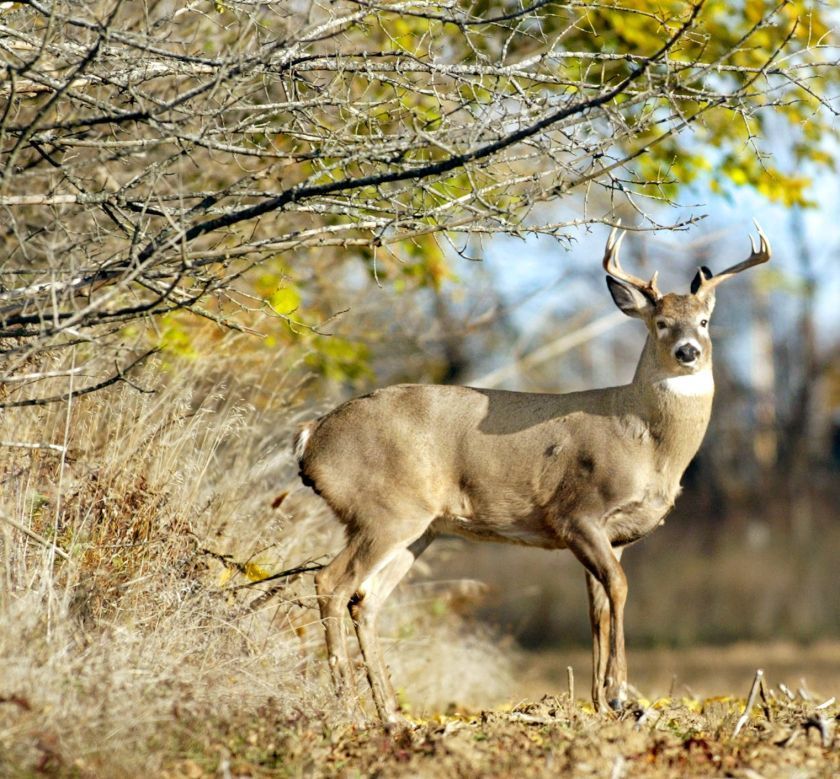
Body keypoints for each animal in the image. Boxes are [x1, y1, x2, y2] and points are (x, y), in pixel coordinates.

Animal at [294, 223, 771, 723]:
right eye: (660, 323)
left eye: (703, 321)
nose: (688, 351)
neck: (647, 442)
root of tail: (311, 438)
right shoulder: (576, 513)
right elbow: (619, 588)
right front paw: (620, 692)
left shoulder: (616, 535)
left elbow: (598, 605)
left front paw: (600, 701)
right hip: (383, 510)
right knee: (331, 582)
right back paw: (348, 706)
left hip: (419, 527)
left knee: (365, 599)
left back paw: (389, 711)